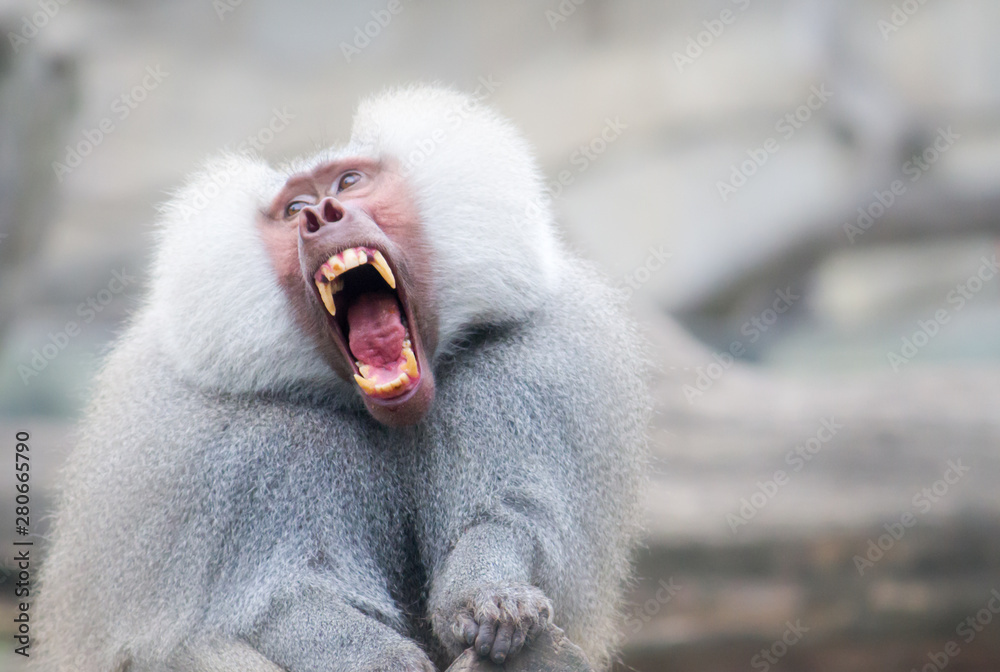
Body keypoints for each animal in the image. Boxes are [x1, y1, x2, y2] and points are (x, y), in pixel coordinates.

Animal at [33, 86, 648, 672]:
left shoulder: (510, 376)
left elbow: (507, 517)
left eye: (349, 182)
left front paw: (492, 601)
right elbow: (277, 600)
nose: (320, 216)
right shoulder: (257, 451)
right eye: (294, 208)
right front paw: (381, 657)